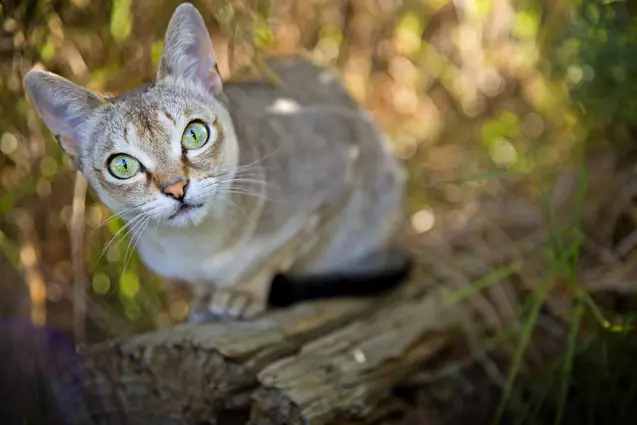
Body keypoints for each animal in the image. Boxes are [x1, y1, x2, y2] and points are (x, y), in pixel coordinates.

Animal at [24, 2, 408, 322]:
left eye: (194, 134)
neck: (200, 249)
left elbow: (277, 255)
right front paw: (203, 299)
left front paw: (242, 293)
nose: (176, 188)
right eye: (122, 166)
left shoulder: (338, 173)